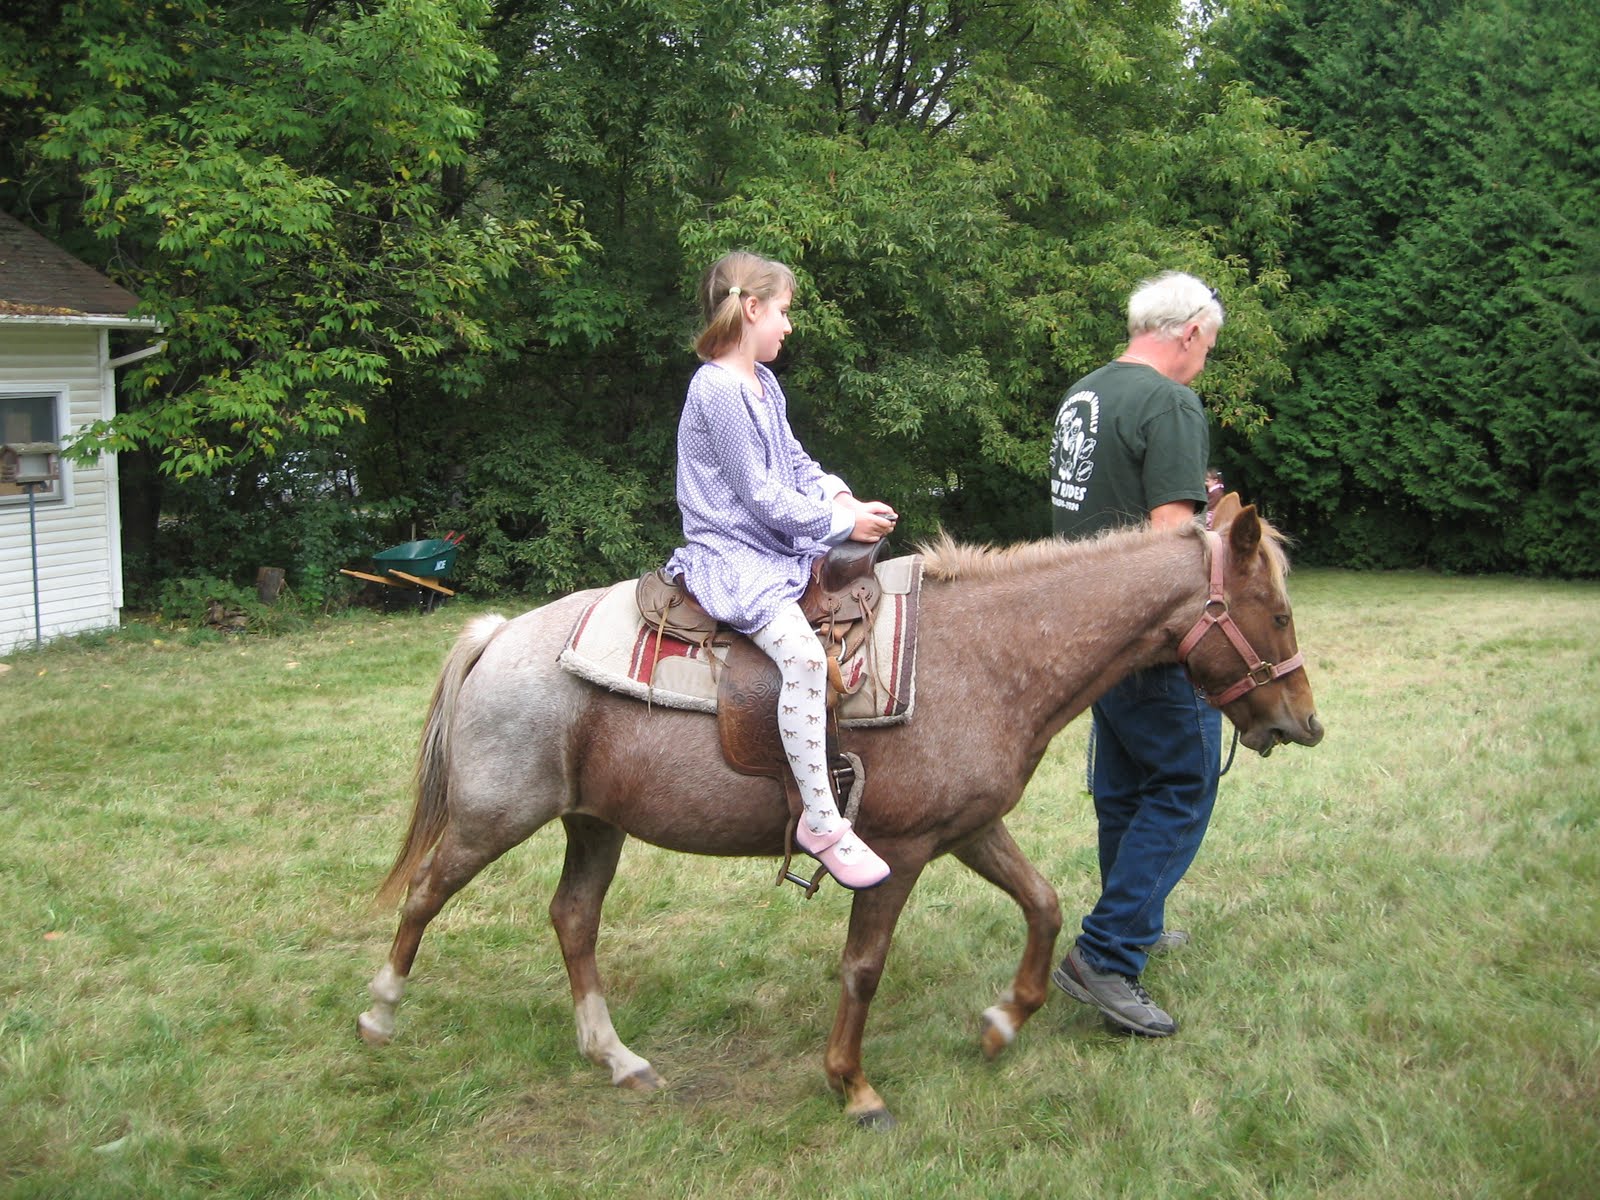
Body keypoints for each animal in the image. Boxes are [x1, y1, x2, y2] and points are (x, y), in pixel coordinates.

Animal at [357, 496, 1323, 1128]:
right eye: (1275, 611)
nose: (1302, 722)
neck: (990, 654)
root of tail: (500, 636)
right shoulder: (899, 847)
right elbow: (863, 967)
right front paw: (853, 1087)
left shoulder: (969, 829)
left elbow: (1045, 905)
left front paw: (1004, 1023)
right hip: (495, 817)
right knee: (426, 897)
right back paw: (380, 1013)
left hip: (594, 824)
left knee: (572, 919)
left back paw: (618, 1058)